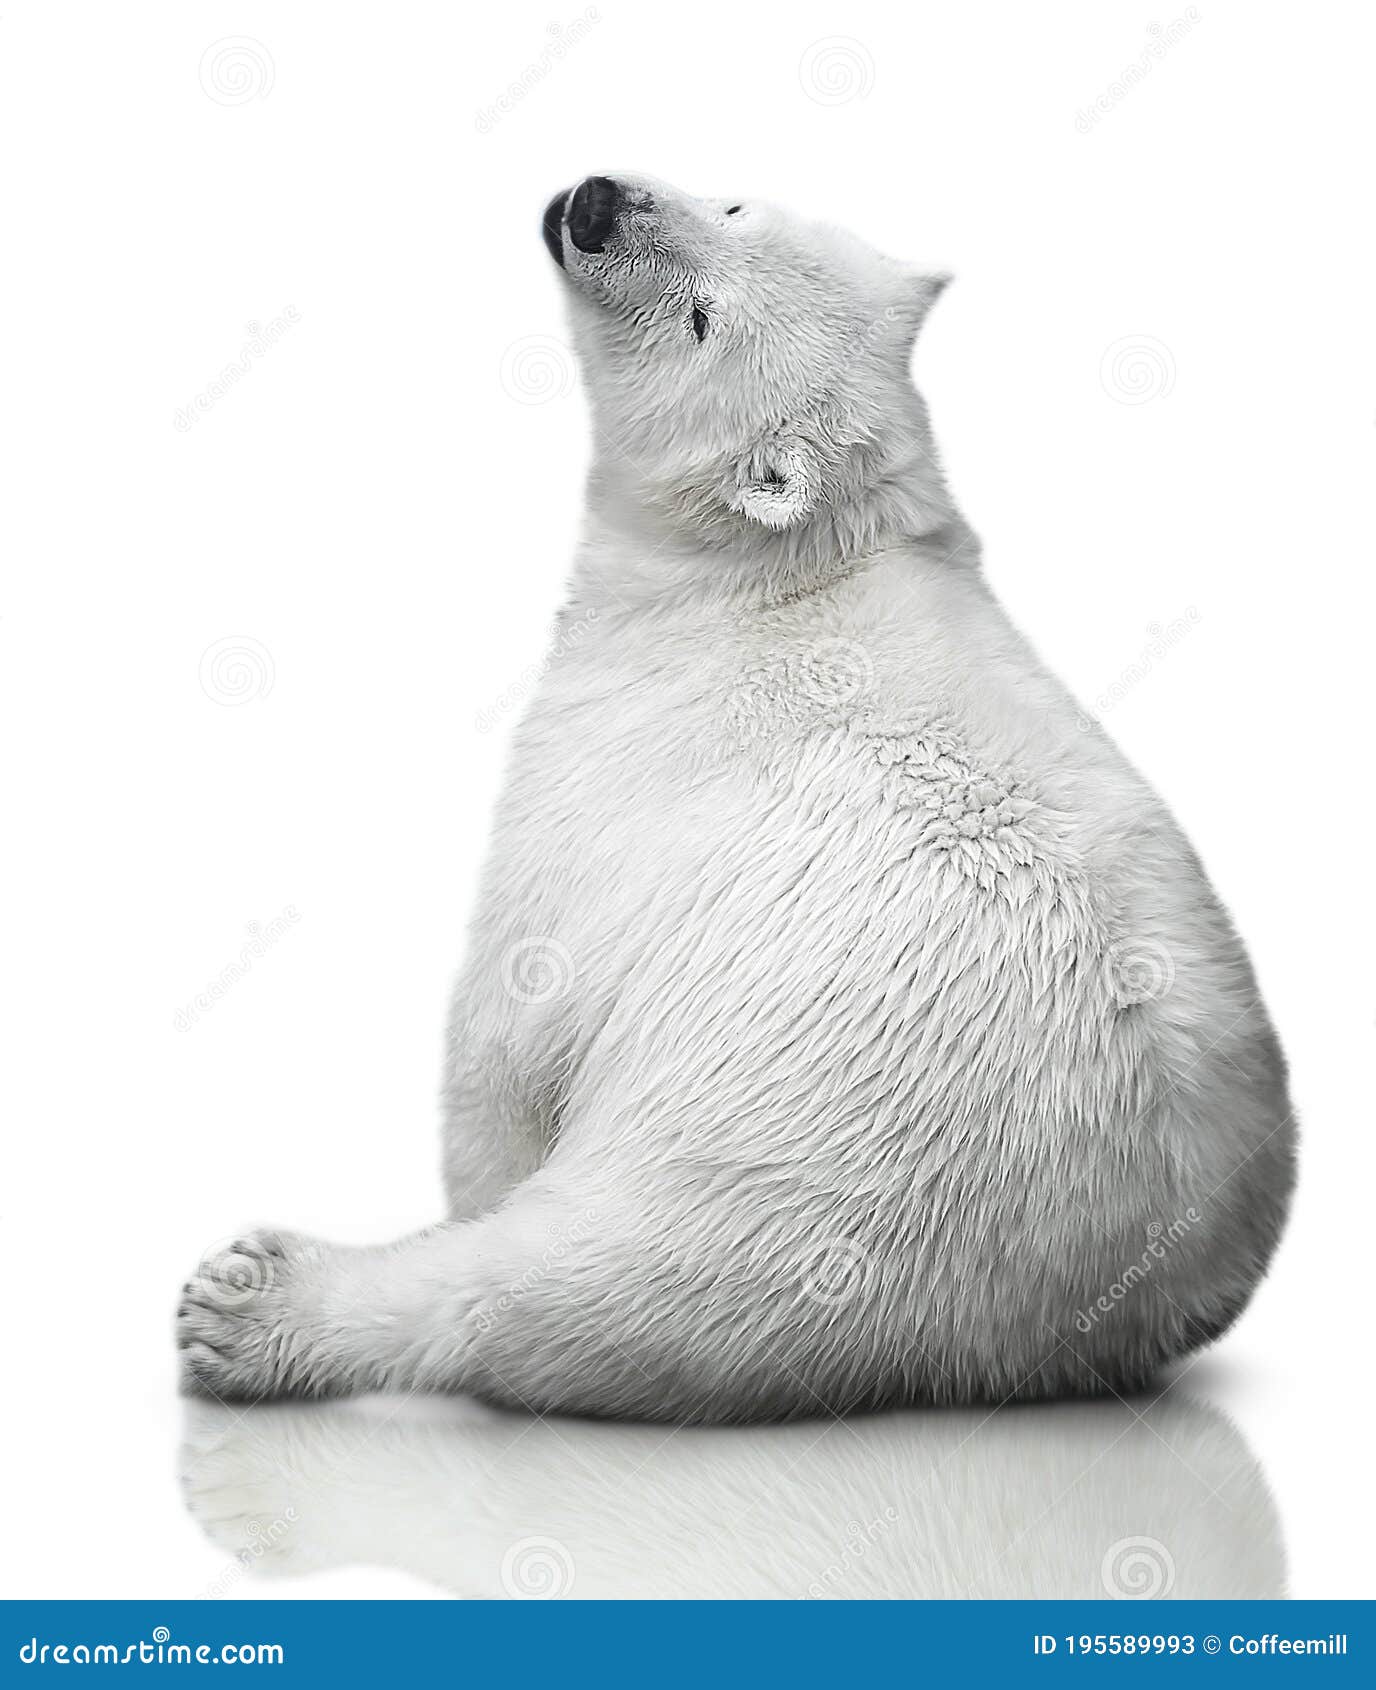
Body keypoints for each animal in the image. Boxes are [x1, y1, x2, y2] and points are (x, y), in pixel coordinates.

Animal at [178, 173, 1295, 1422]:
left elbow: (511, 1026)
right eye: (734, 205)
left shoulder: (620, 763)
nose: (595, 203)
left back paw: (257, 1300)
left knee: (533, 1287)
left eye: (701, 319)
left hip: (747, 1189)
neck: (780, 569)